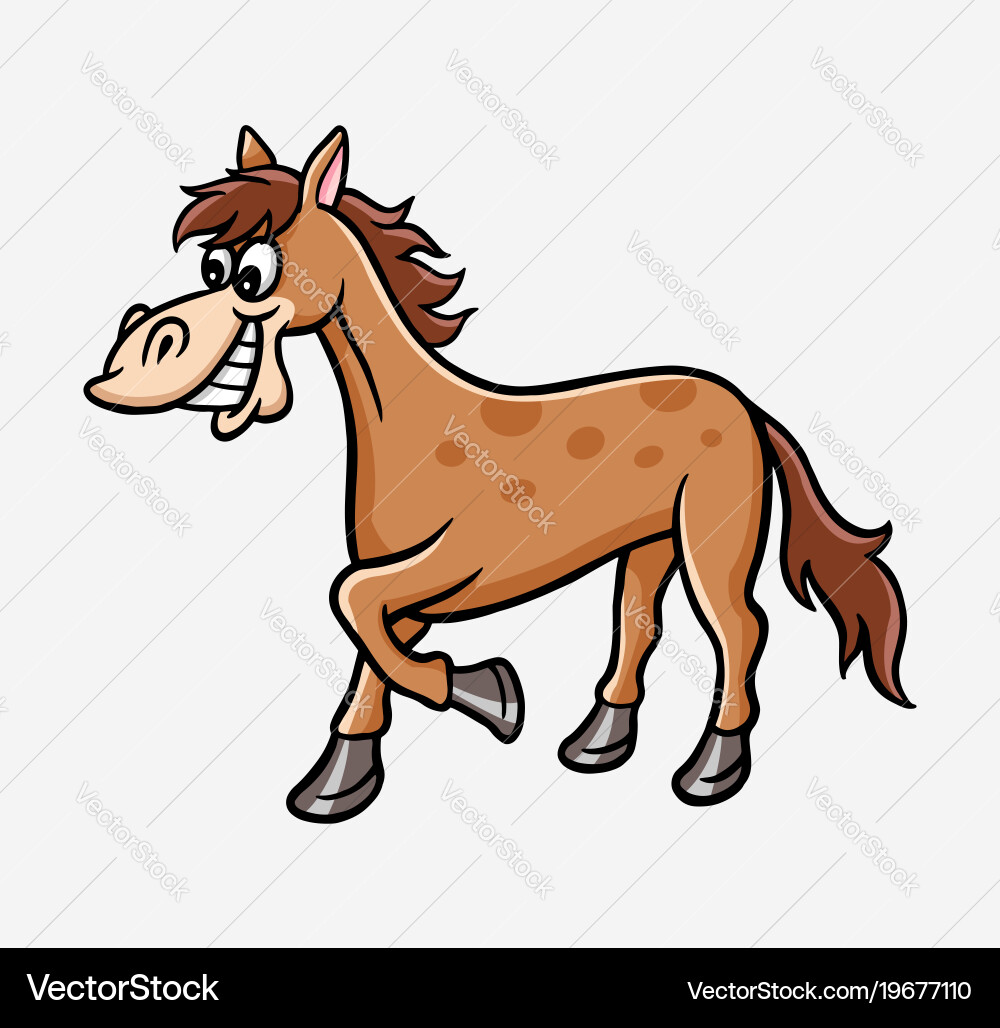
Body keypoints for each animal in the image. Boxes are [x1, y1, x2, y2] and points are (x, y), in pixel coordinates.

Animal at [85, 125, 912, 824]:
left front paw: (488, 695)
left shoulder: (465, 565)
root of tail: (746, 406)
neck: (410, 427)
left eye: (252, 276)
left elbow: (352, 603)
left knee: (741, 630)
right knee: (637, 626)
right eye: (212, 265)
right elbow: (367, 644)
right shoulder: (407, 579)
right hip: (650, 544)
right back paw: (596, 743)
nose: (120, 373)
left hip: (711, 540)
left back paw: (712, 769)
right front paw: (338, 783)